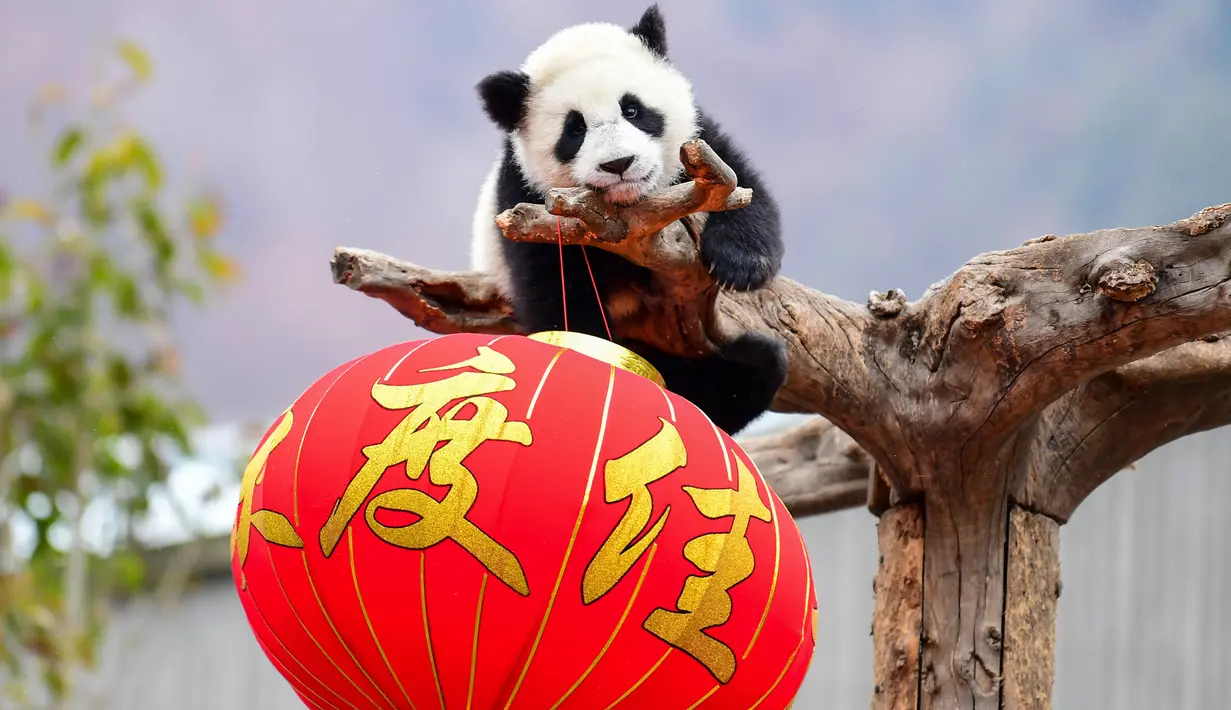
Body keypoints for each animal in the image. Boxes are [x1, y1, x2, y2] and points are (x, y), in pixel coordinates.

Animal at [470, 4, 787, 436]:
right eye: (575, 129)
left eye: (633, 110)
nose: (618, 164)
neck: (630, 209)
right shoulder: (526, 206)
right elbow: (563, 310)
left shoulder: (698, 143)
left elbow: (739, 183)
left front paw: (741, 263)